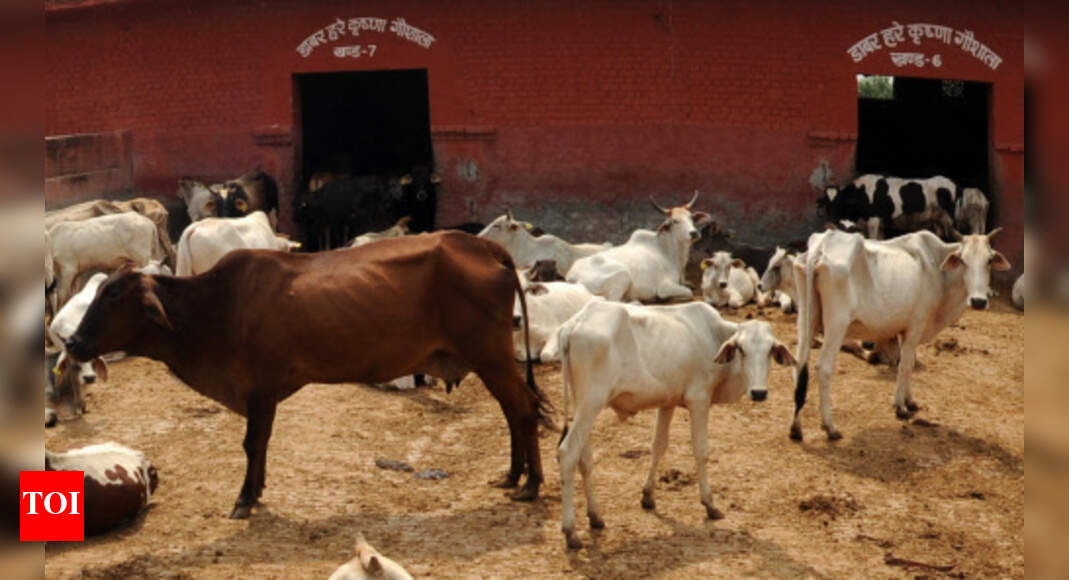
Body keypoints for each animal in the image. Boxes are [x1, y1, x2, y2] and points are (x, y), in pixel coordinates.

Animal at [64, 232, 551, 517]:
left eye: (113, 297)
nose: (71, 342)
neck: (218, 307)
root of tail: (481, 246)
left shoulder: (259, 389)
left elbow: (252, 443)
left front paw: (244, 499)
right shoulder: (263, 394)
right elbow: (260, 445)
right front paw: (256, 490)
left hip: (491, 356)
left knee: (524, 409)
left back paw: (531, 484)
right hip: (490, 360)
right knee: (512, 411)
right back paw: (512, 475)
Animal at [554, 300, 795, 549]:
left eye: (770, 351)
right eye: (741, 349)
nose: (759, 393)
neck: (713, 335)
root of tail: (573, 324)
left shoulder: (667, 402)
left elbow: (658, 446)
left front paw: (648, 496)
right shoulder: (699, 400)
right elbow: (701, 452)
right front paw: (710, 504)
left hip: (582, 404)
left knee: (584, 458)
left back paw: (595, 516)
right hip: (592, 402)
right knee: (568, 453)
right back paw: (571, 531)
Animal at [567, 193, 710, 302]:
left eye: (691, 217)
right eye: (674, 221)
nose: (694, 233)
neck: (668, 251)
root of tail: (572, 275)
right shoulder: (664, 287)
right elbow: (688, 293)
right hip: (623, 275)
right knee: (612, 301)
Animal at [790, 228, 1011, 440]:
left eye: (989, 260)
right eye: (963, 260)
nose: (978, 301)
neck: (937, 271)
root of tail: (822, 244)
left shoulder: (906, 332)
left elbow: (909, 364)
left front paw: (909, 401)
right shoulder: (915, 327)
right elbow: (904, 366)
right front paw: (900, 407)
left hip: (806, 317)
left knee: (800, 364)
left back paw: (796, 428)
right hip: (837, 323)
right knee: (823, 368)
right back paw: (830, 427)